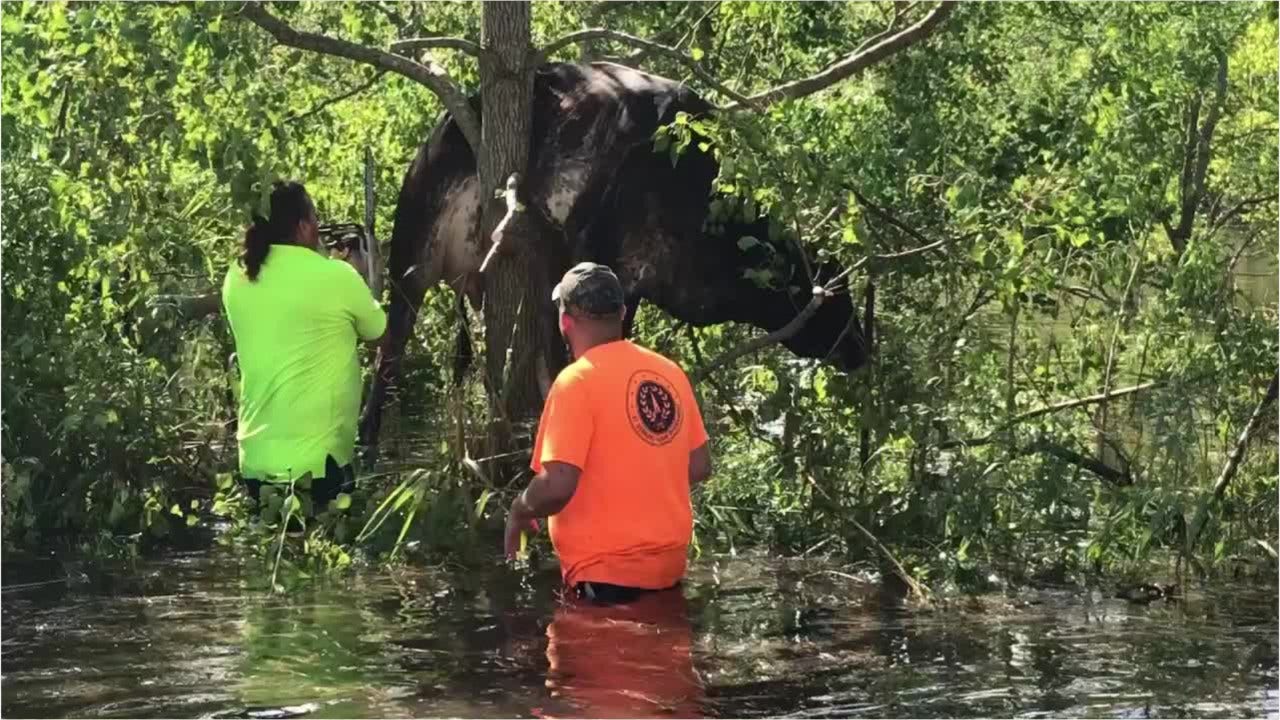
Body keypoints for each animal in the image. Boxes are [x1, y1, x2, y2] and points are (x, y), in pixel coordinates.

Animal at [359, 62, 867, 447]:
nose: (861, 349)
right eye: (834, 294)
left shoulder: (631, 284)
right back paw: (366, 450)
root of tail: (435, 139)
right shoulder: (579, 257)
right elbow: (564, 358)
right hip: (410, 264)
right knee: (388, 359)